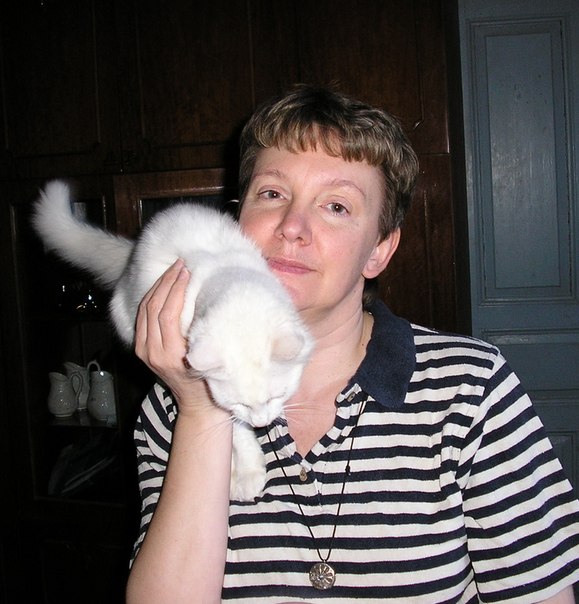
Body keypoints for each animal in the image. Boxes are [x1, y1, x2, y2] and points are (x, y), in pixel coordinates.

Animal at [32, 180, 313, 501]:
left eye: (277, 396)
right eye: (240, 402)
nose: (262, 423)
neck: (223, 271)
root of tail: (130, 256)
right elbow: (236, 428)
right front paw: (248, 470)